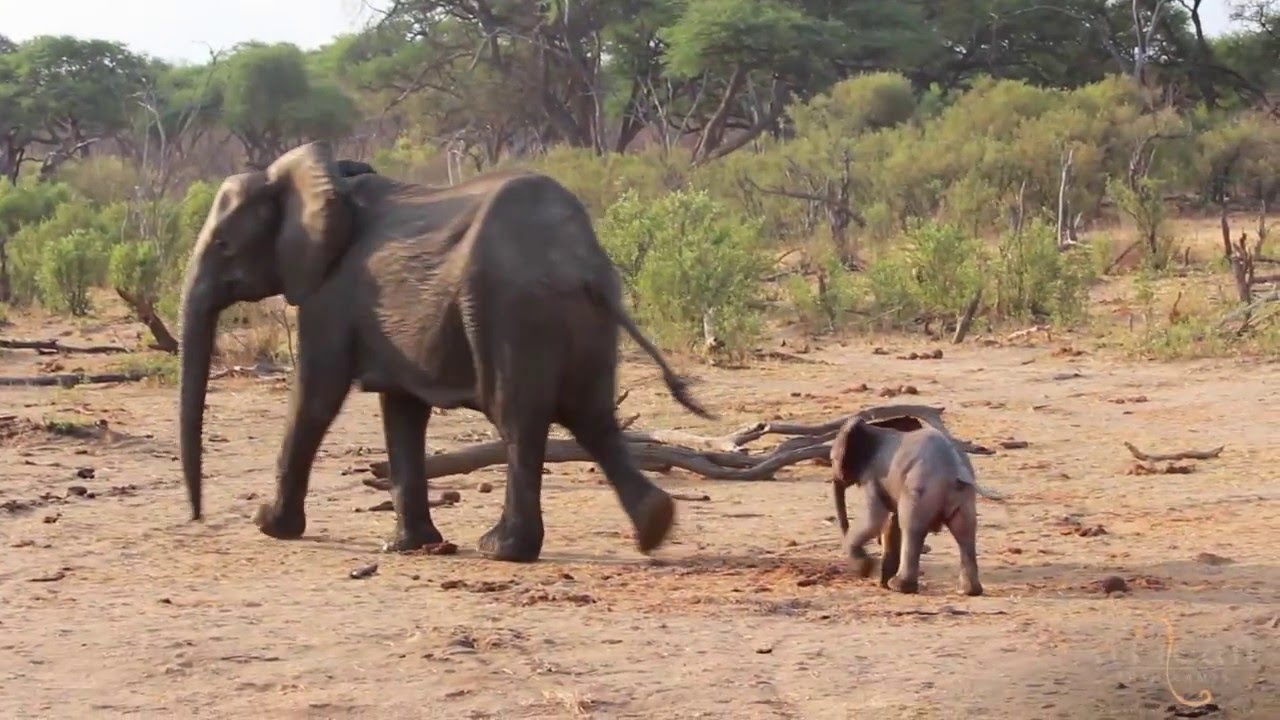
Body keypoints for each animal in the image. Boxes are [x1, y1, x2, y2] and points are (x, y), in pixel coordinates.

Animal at [177, 140, 714, 563]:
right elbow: (400, 409)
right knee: (593, 419)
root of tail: (581, 258)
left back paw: (501, 550)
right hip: (580, 319)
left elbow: (316, 394)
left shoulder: (329, 293)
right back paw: (655, 527)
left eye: (223, 244)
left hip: (510, 312)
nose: (197, 517)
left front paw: (268, 525)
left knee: (519, 419)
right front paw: (408, 546)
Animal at [829, 416, 1006, 595]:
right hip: (963, 497)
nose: (861, 570)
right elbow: (890, 522)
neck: (872, 428)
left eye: (831, 459)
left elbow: (874, 520)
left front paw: (867, 568)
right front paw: (878, 578)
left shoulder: (873, 477)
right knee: (965, 532)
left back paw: (899, 586)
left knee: (912, 527)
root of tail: (956, 471)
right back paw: (969, 591)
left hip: (921, 491)